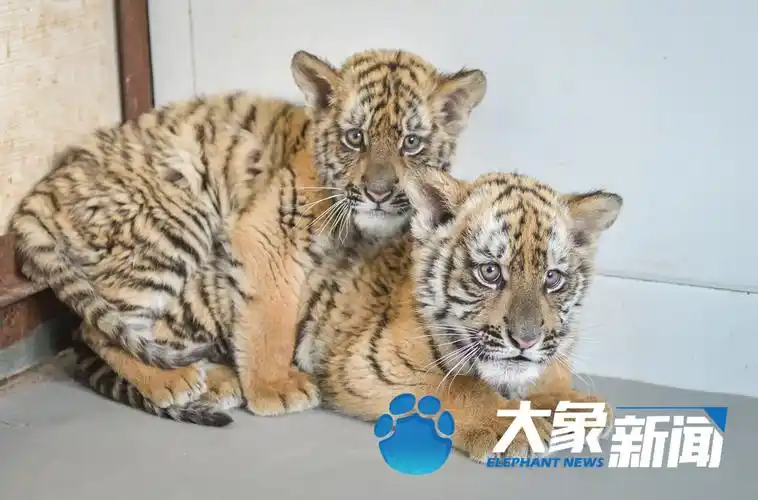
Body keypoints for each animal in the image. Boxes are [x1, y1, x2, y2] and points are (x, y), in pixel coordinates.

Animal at [10, 49, 487, 426]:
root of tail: (43, 190)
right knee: (97, 329)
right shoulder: (267, 233)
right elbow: (271, 316)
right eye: (355, 138)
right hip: (178, 217)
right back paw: (175, 379)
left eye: (411, 143)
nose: (380, 192)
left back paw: (214, 379)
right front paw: (275, 388)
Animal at [294, 167, 623, 461]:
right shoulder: (368, 364)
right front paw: (512, 427)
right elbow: (461, 385)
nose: (525, 341)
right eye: (490, 272)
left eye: (552, 278)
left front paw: (574, 405)